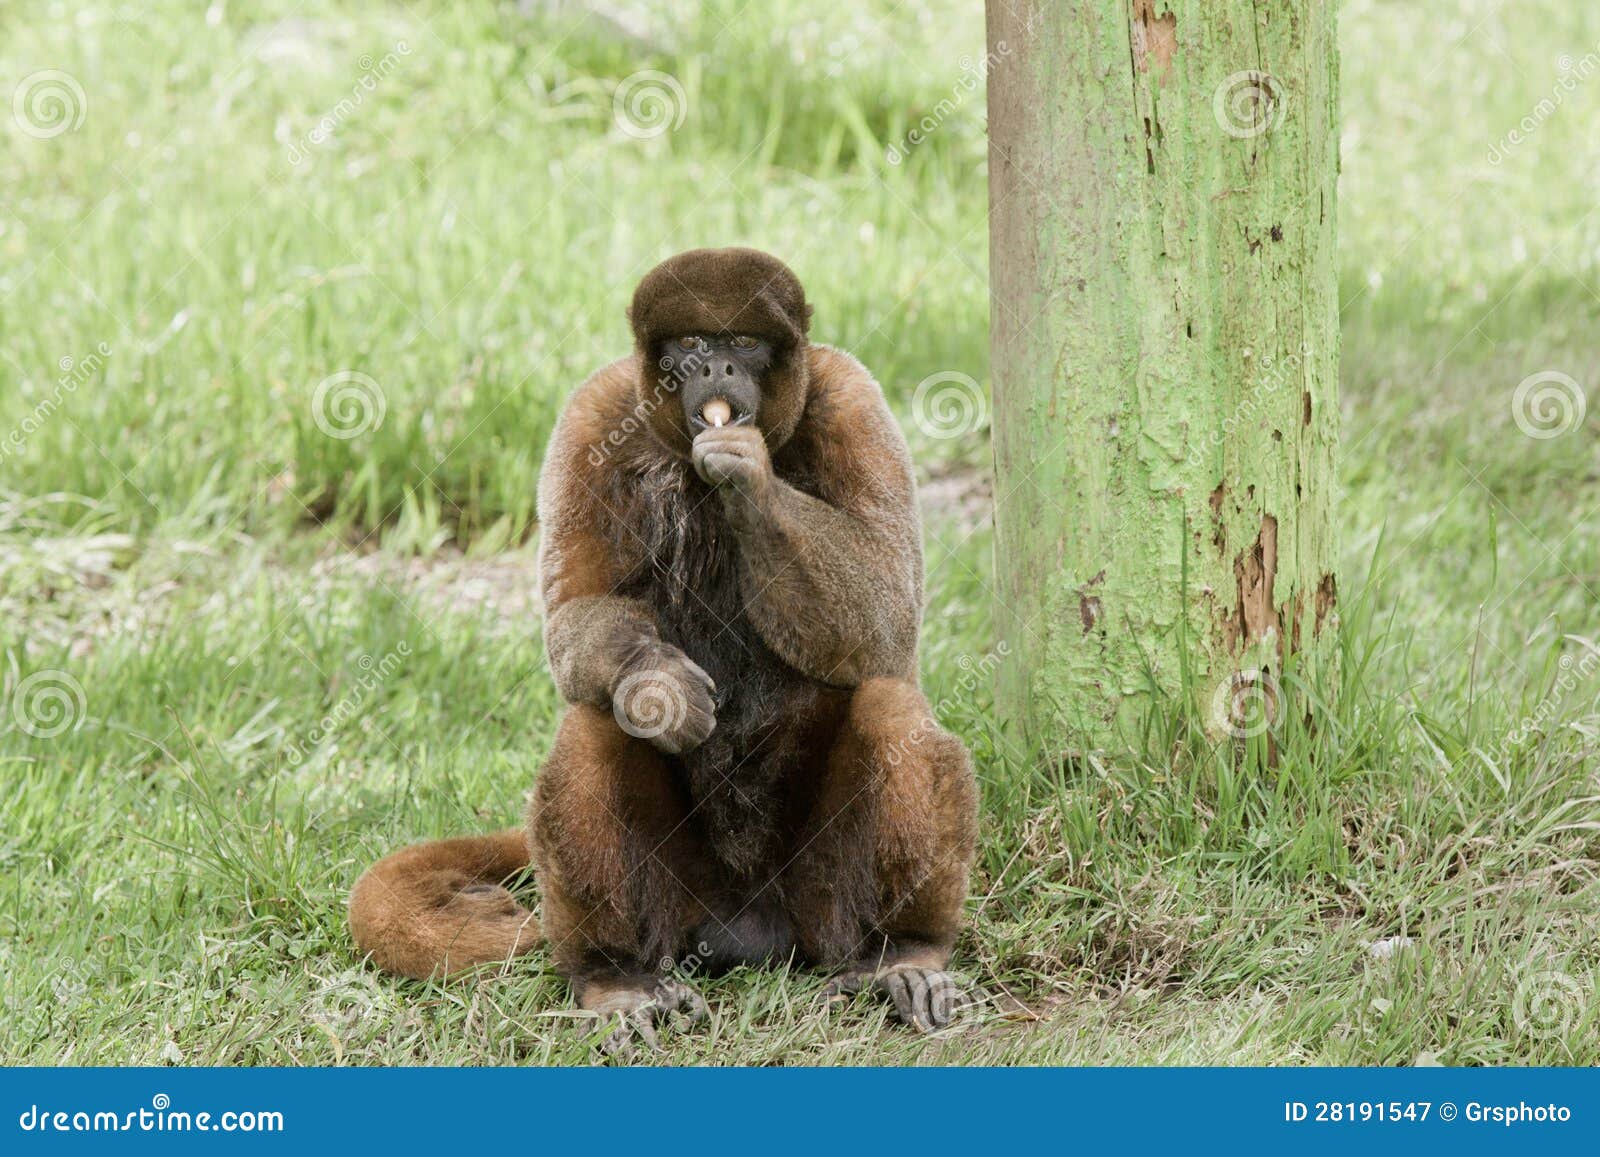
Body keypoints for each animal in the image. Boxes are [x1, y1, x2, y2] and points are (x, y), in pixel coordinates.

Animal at [348, 247, 978, 1052]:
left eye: (744, 343)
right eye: (690, 344)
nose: (716, 368)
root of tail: (750, 931)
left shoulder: (853, 398)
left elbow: (886, 616)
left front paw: (748, 474)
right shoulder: (595, 409)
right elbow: (577, 616)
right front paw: (660, 689)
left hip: (819, 902)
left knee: (891, 705)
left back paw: (903, 953)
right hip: (679, 906)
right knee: (594, 720)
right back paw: (616, 978)